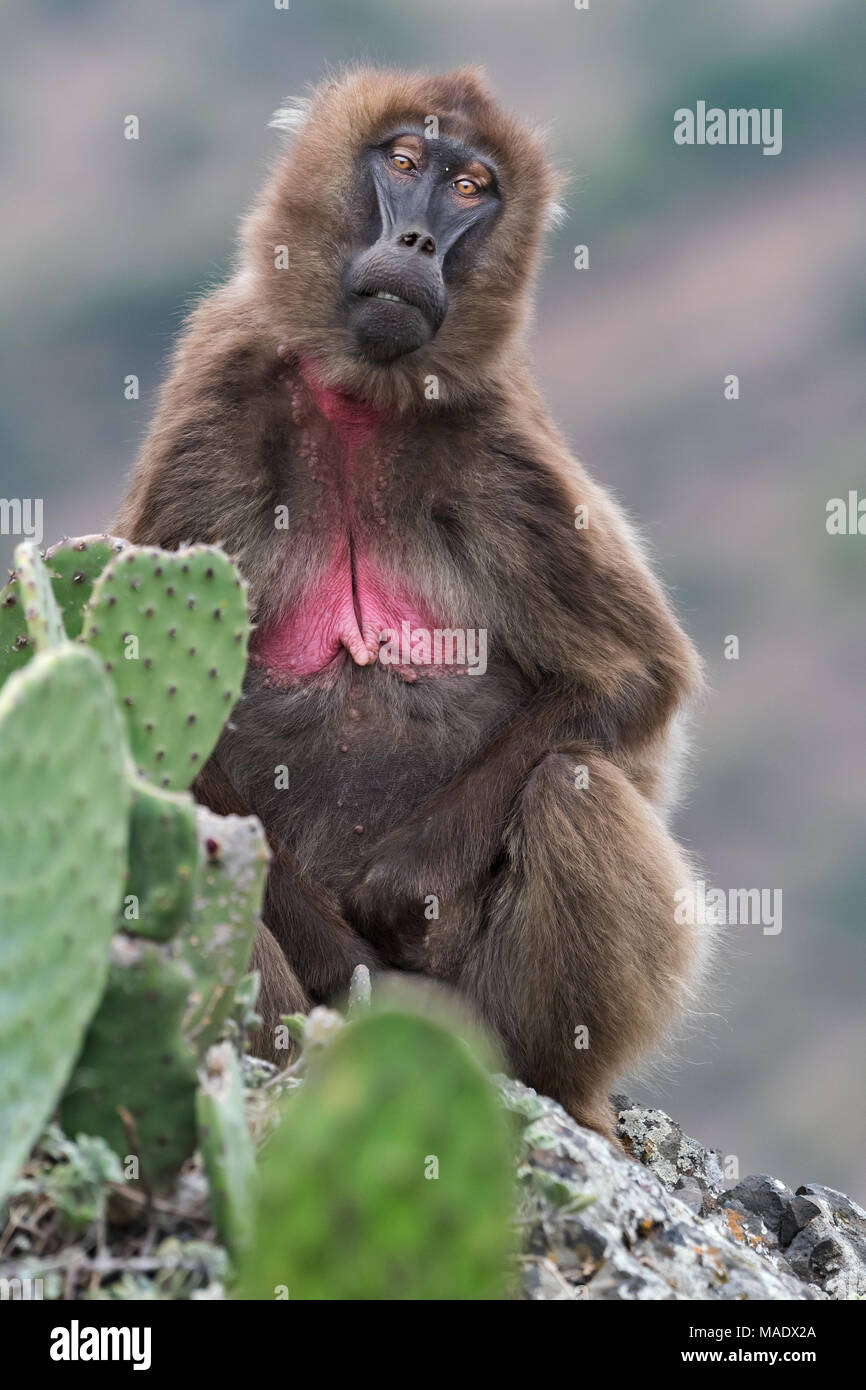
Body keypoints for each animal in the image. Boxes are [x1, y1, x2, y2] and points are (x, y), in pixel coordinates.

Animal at [115, 66, 706, 1139]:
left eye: (471, 187)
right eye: (401, 161)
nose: (421, 242)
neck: (363, 398)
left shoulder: (499, 434)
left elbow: (635, 677)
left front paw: (404, 888)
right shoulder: (216, 389)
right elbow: (162, 721)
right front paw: (348, 957)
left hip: (491, 1026)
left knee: (573, 780)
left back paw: (561, 1091)